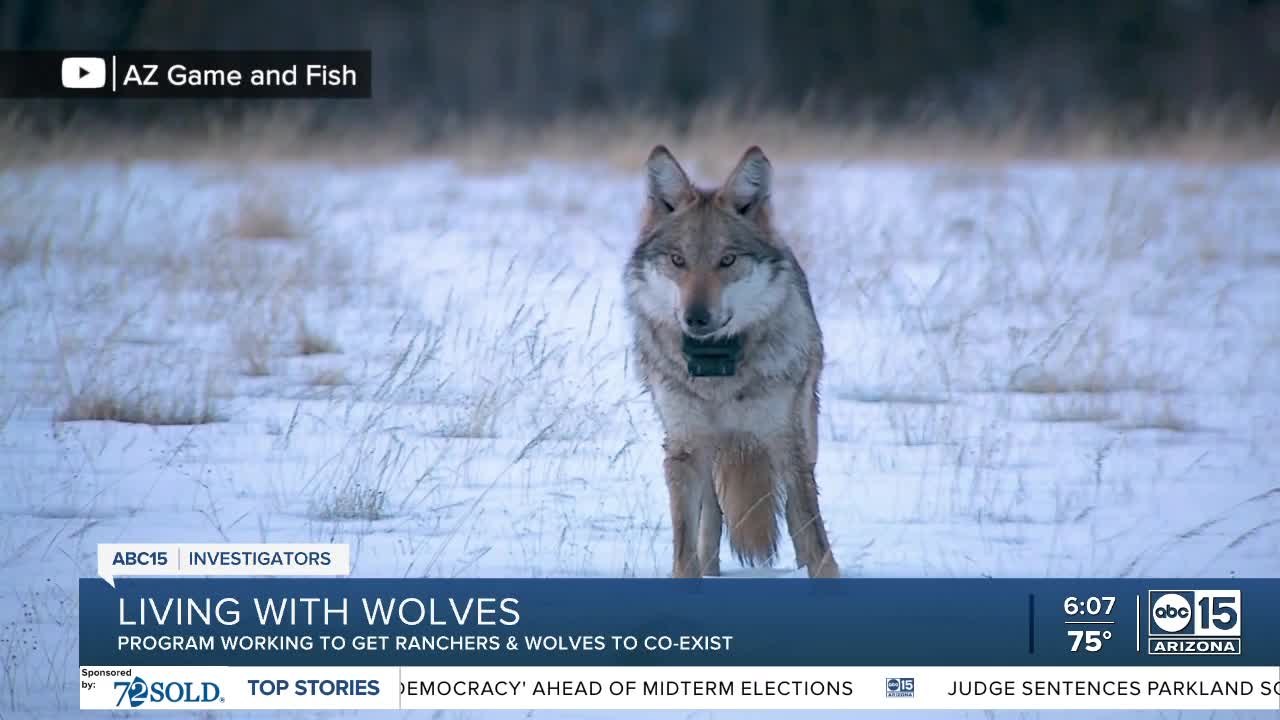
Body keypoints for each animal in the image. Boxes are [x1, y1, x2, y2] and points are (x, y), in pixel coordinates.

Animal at [623, 145, 839, 578]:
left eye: (727, 260)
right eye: (678, 260)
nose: (695, 317)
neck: (717, 370)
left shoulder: (786, 443)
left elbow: (814, 537)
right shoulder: (684, 448)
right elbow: (684, 549)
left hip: (804, 440)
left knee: (795, 519)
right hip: (708, 459)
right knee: (710, 527)